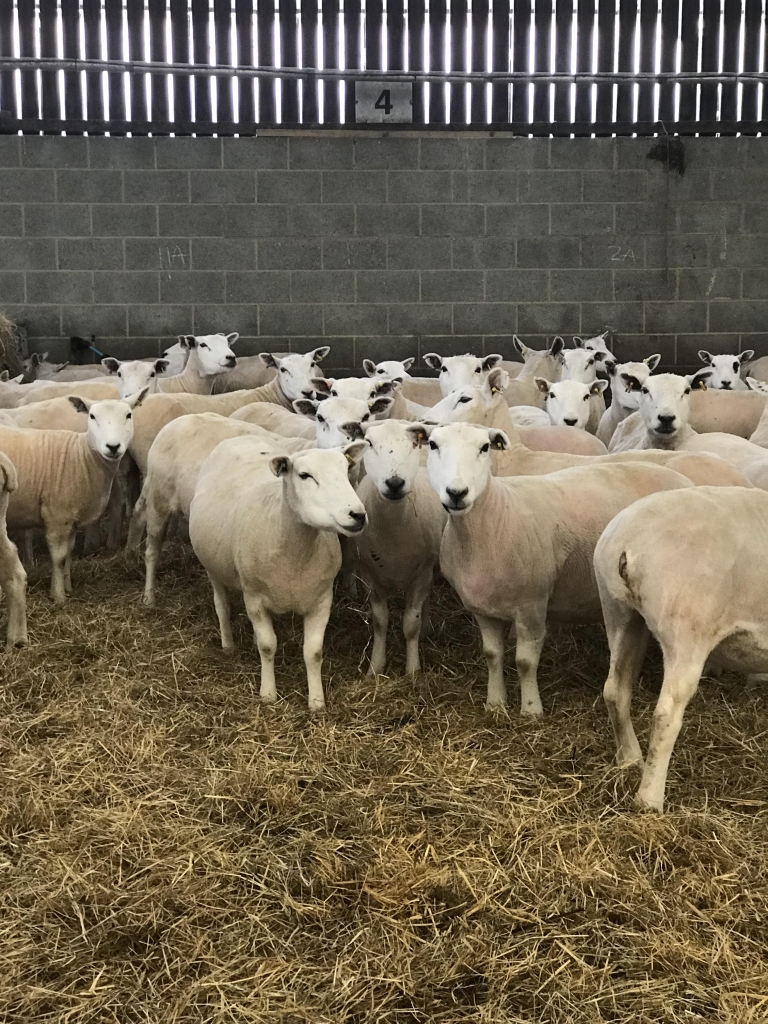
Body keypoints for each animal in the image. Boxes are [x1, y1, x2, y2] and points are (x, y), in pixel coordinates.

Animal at [0, 390, 147, 603]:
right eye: (92, 416)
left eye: (129, 415)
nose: (113, 447)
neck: (81, 456)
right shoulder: (57, 516)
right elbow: (59, 558)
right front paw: (58, 596)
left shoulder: (71, 518)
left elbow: (69, 553)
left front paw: (68, 586)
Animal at [189, 438, 368, 709]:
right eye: (305, 475)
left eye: (345, 470)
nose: (357, 515)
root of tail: (237, 438)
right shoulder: (254, 597)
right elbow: (268, 646)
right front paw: (268, 694)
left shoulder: (322, 600)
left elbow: (313, 652)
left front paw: (317, 701)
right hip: (213, 568)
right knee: (221, 605)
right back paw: (228, 644)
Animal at [354, 420, 447, 676]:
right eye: (370, 443)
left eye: (412, 444)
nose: (394, 483)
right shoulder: (368, 574)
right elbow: (380, 621)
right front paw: (375, 667)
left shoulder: (421, 573)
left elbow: (410, 623)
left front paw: (412, 671)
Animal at [422, 421, 690, 714]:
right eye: (433, 445)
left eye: (484, 447)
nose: (457, 493)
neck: (493, 516)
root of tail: (683, 480)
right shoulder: (483, 610)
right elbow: (492, 655)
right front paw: (495, 704)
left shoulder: (532, 604)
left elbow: (525, 662)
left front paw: (531, 709)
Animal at [594, 486, 767, 812]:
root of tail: (628, 541)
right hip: (685, 626)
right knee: (666, 714)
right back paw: (649, 800)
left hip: (619, 611)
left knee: (615, 690)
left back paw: (629, 760)